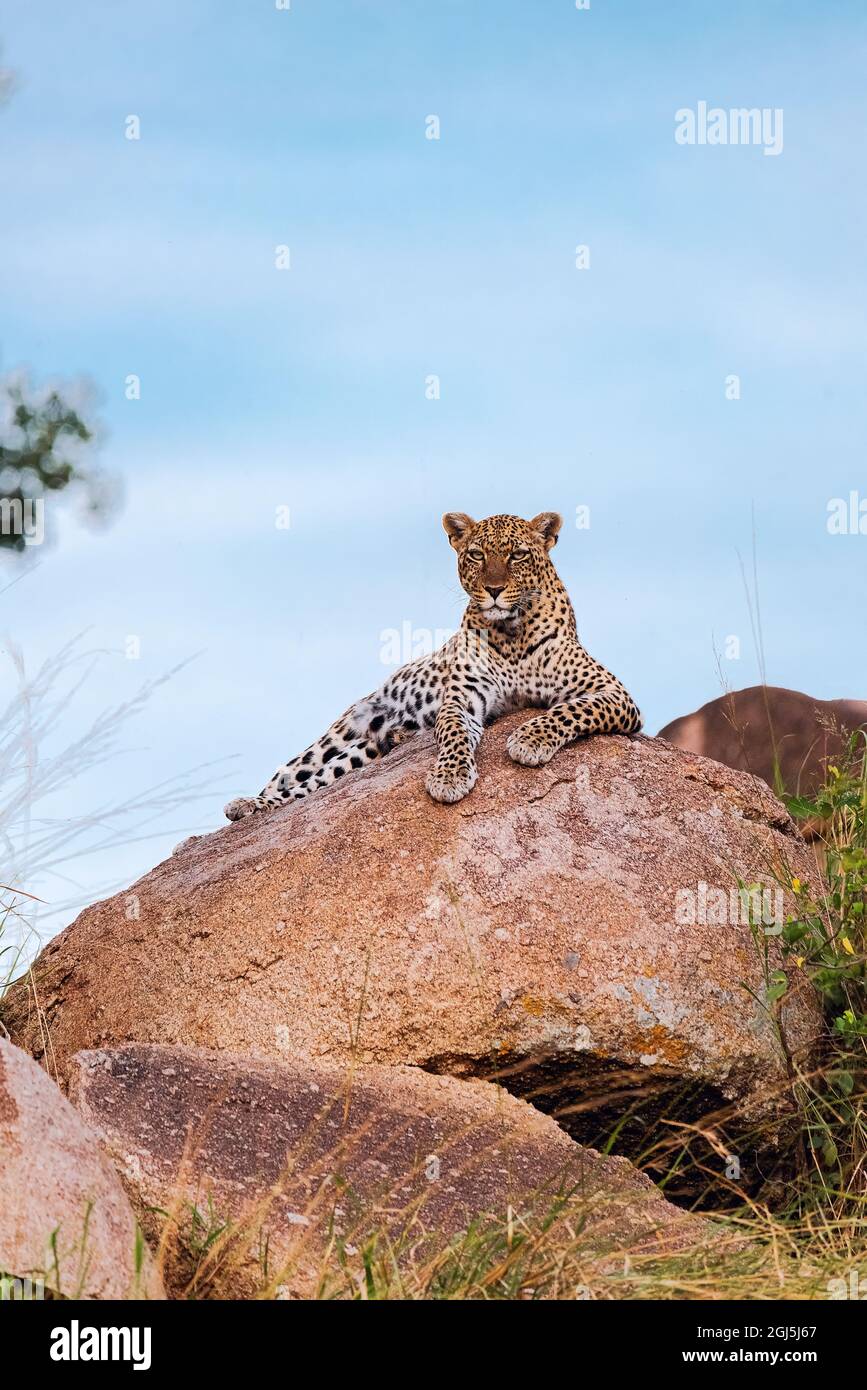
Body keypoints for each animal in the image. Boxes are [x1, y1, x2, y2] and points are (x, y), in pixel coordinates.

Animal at [224, 510, 641, 821]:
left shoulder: (614, 693)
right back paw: (245, 806)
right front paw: (450, 776)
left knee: (312, 786)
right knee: (286, 779)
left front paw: (529, 739)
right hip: (333, 738)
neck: (512, 632)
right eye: (476, 554)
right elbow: (455, 732)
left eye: (518, 555)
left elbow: (570, 711)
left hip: (359, 755)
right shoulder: (462, 698)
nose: (493, 590)